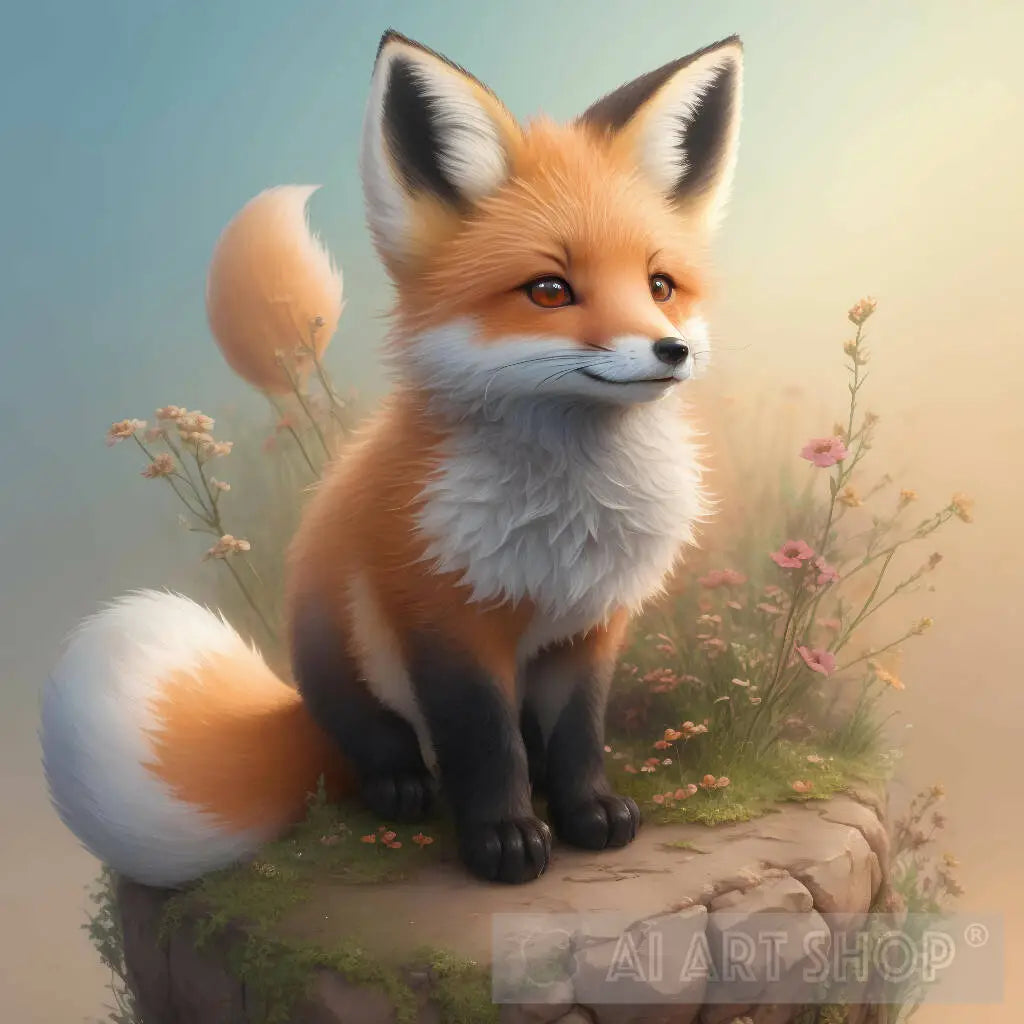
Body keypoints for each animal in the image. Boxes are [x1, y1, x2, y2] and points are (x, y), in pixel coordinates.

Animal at [40, 29, 743, 888]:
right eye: (549, 290)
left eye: (660, 285)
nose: (671, 350)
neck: (565, 526)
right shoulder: (445, 622)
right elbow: (485, 746)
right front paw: (503, 837)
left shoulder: (592, 625)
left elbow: (578, 736)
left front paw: (587, 811)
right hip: (344, 659)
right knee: (378, 749)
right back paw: (401, 787)